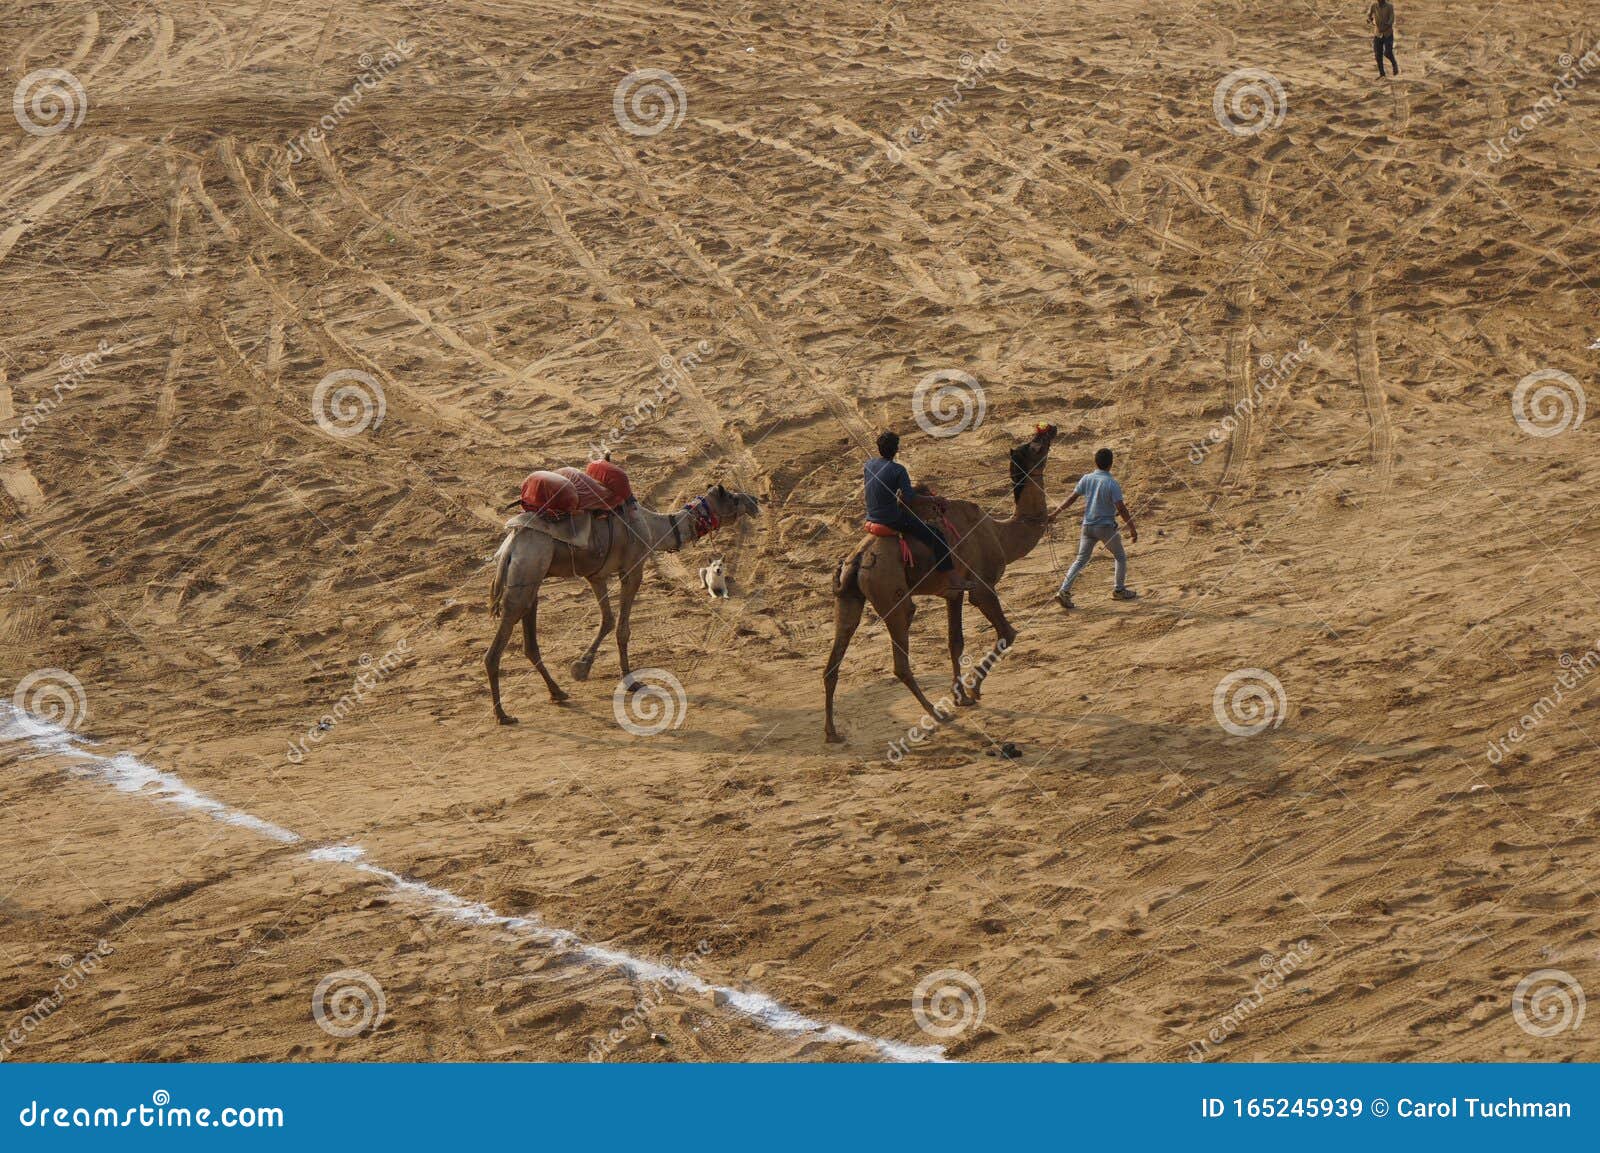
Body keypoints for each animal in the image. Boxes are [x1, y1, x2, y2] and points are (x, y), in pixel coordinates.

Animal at [486, 482, 760, 724]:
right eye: (732, 497)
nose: (754, 502)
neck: (651, 527)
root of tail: (510, 545)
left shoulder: (596, 575)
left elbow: (607, 620)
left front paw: (581, 667)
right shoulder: (633, 569)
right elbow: (622, 628)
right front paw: (631, 681)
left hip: (531, 578)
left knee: (530, 642)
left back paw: (558, 692)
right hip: (528, 568)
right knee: (497, 647)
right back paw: (503, 715)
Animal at [823, 424, 1058, 743]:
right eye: (1034, 446)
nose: (1051, 429)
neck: (999, 534)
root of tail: (858, 560)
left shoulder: (952, 593)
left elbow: (954, 641)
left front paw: (961, 696)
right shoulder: (982, 586)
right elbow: (1007, 633)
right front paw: (973, 690)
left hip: (848, 596)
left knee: (834, 659)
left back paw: (831, 732)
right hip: (891, 594)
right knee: (901, 658)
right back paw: (935, 713)